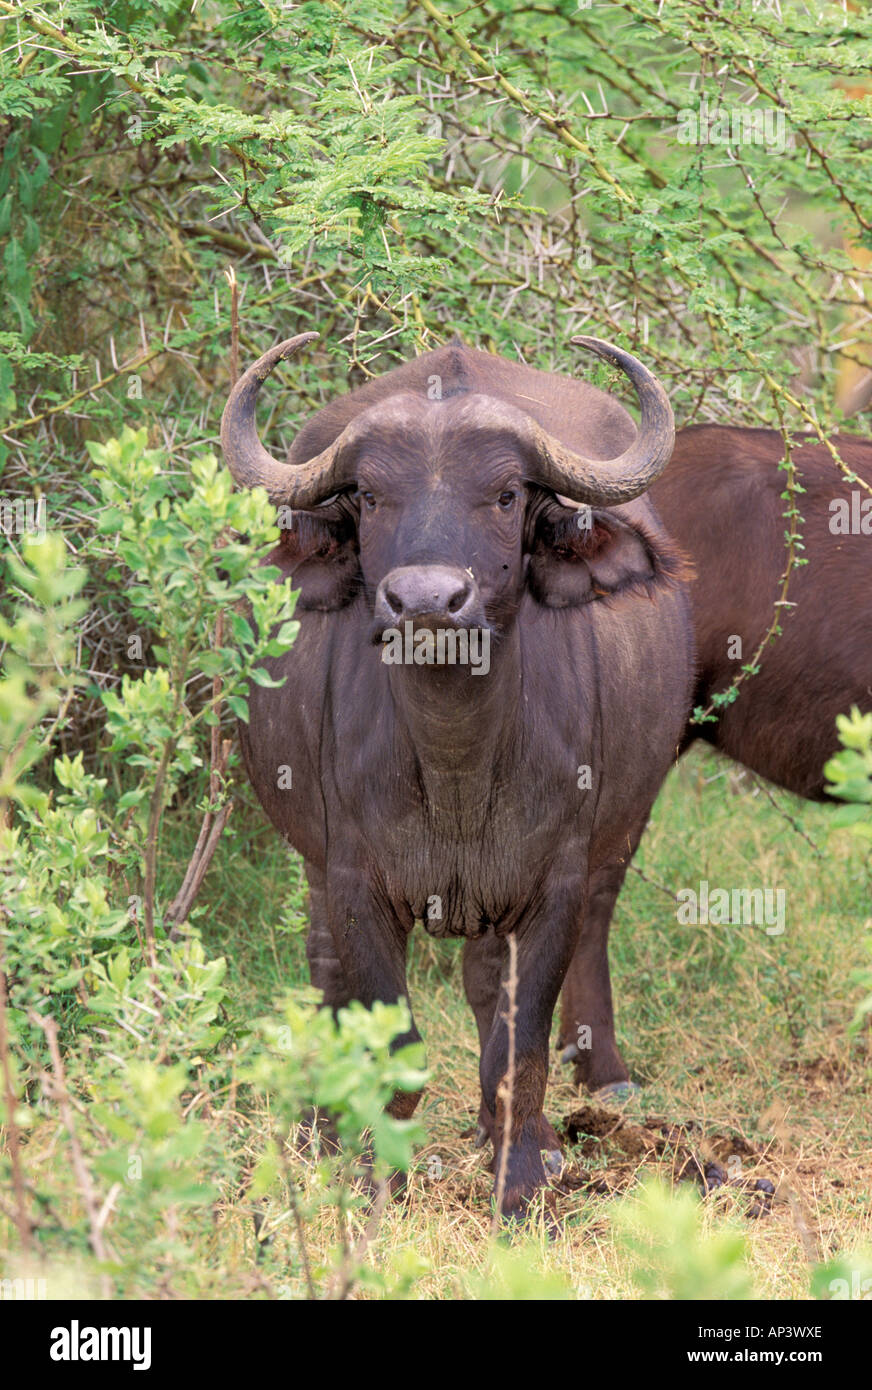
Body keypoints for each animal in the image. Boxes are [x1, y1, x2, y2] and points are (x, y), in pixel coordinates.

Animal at [221, 332, 693, 1216]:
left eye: (506, 495)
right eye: (371, 497)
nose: (427, 601)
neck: (456, 767)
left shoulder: (553, 885)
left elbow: (519, 1048)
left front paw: (522, 1180)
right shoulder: (356, 883)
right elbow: (392, 1038)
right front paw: (375, 1171)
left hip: (621, 831)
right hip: (314, 867)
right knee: (328, 971)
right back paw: (321, 1127)